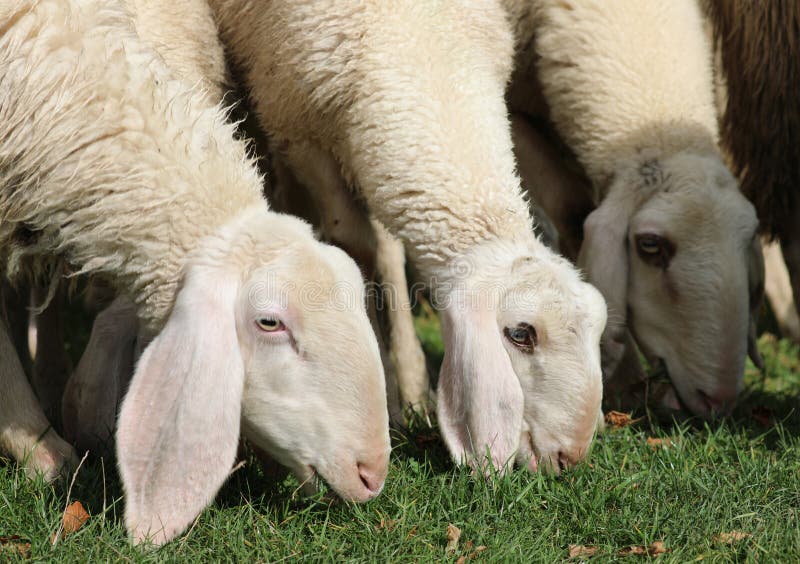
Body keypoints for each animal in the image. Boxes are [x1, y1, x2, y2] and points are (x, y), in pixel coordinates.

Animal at [503, 0, 763, 416]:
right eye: (650, 245)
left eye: (749, 237)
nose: (719, 401)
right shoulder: (513, 115)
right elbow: (573, 213)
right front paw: (622, 379)